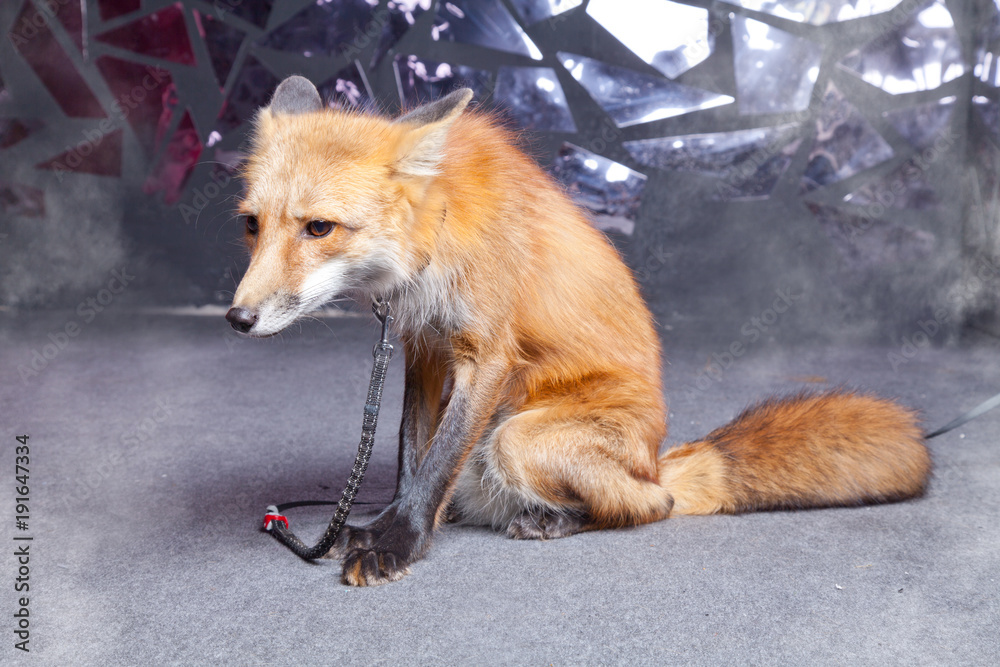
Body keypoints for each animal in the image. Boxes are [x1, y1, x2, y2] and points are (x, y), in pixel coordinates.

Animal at [226, 75, 932, 587]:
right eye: (252, 225)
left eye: (319, 227)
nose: (237, 318)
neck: (437, 236)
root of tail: (658, 459)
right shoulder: (421, 351)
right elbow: (411, 455)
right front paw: (383, 525)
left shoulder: (488, 355)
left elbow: (438, 460)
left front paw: (400, 542)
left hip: (515, 441)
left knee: (652, 506)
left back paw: (552, 521)